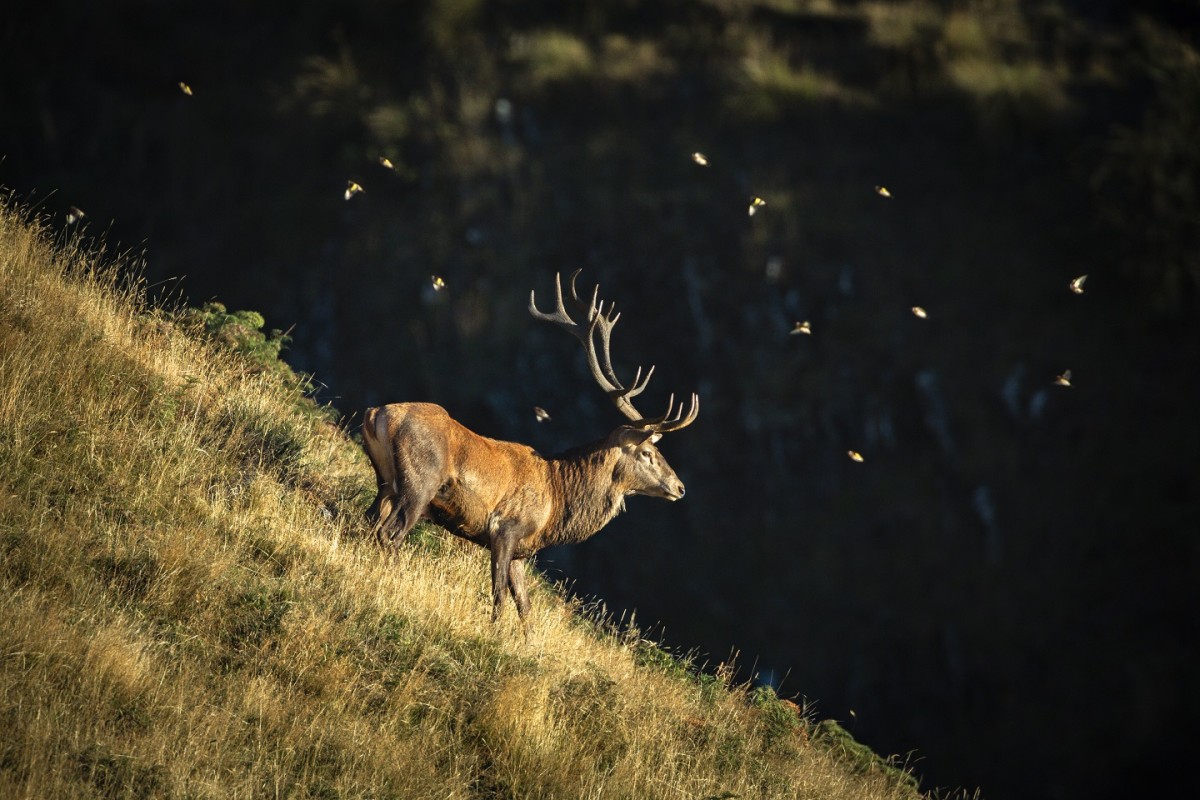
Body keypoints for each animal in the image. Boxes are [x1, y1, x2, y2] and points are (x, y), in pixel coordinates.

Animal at [361, 269, 698, 631]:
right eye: (647, 452)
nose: (680, 487)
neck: (556, 501)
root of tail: (380, 414)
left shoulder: (523, 551)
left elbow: (525, 606)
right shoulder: (505, 528)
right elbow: (499, 594)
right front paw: (493, 634)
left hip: (386, 482)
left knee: (370, 521)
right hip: (420, 484)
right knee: (390, 533)